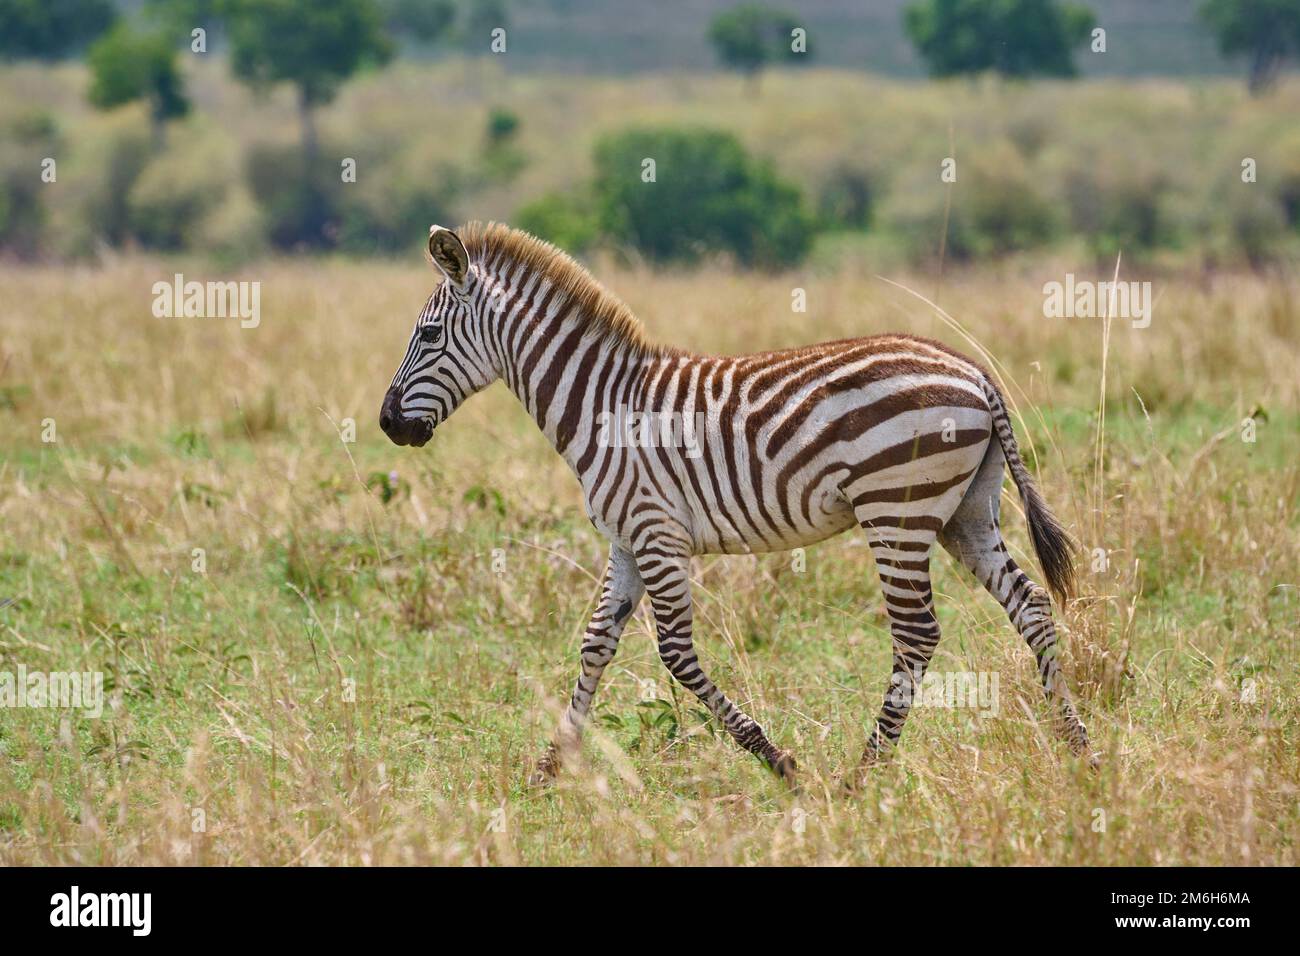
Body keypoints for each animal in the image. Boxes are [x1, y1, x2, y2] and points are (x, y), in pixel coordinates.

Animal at [380, 222, 1094, 787]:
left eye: (430, 335)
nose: (387, 424)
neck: (602, 406)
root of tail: (974, 371)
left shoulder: (657, 533)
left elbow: (675, 654)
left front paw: (778, 761)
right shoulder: (628, 538)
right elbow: (595, 644)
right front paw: (552, 765)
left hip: (897, 510)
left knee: (917, 634)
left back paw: (864, 772)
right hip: (963, 514)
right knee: (1031, 608)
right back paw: (1076, 746)